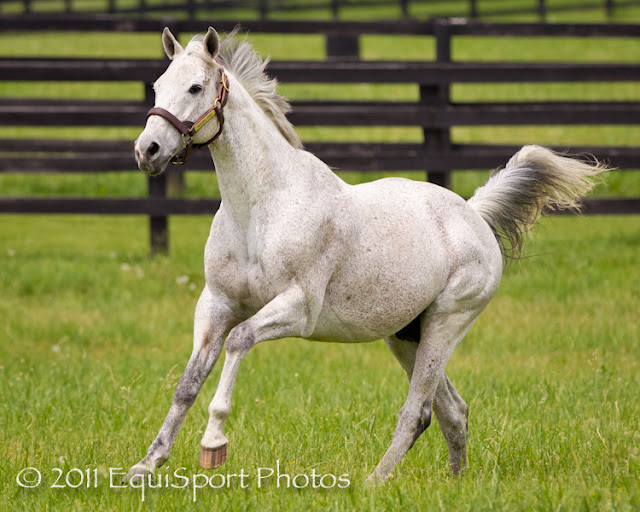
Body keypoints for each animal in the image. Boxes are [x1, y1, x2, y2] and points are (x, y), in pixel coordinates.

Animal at [126, 27, 606, 484]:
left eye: (195, 87)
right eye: (157, 86)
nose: (147, 151)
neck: (261, 209)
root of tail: (473, 212)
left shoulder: (298, 308)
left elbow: (240, 340)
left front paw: (213, 442)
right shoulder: (216, 304)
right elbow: (187, 385)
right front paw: (147, 465)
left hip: (445, 325)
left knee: (417, 411)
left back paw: (374, 481)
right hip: (406, 334)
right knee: (452, 410)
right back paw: (456, 482)